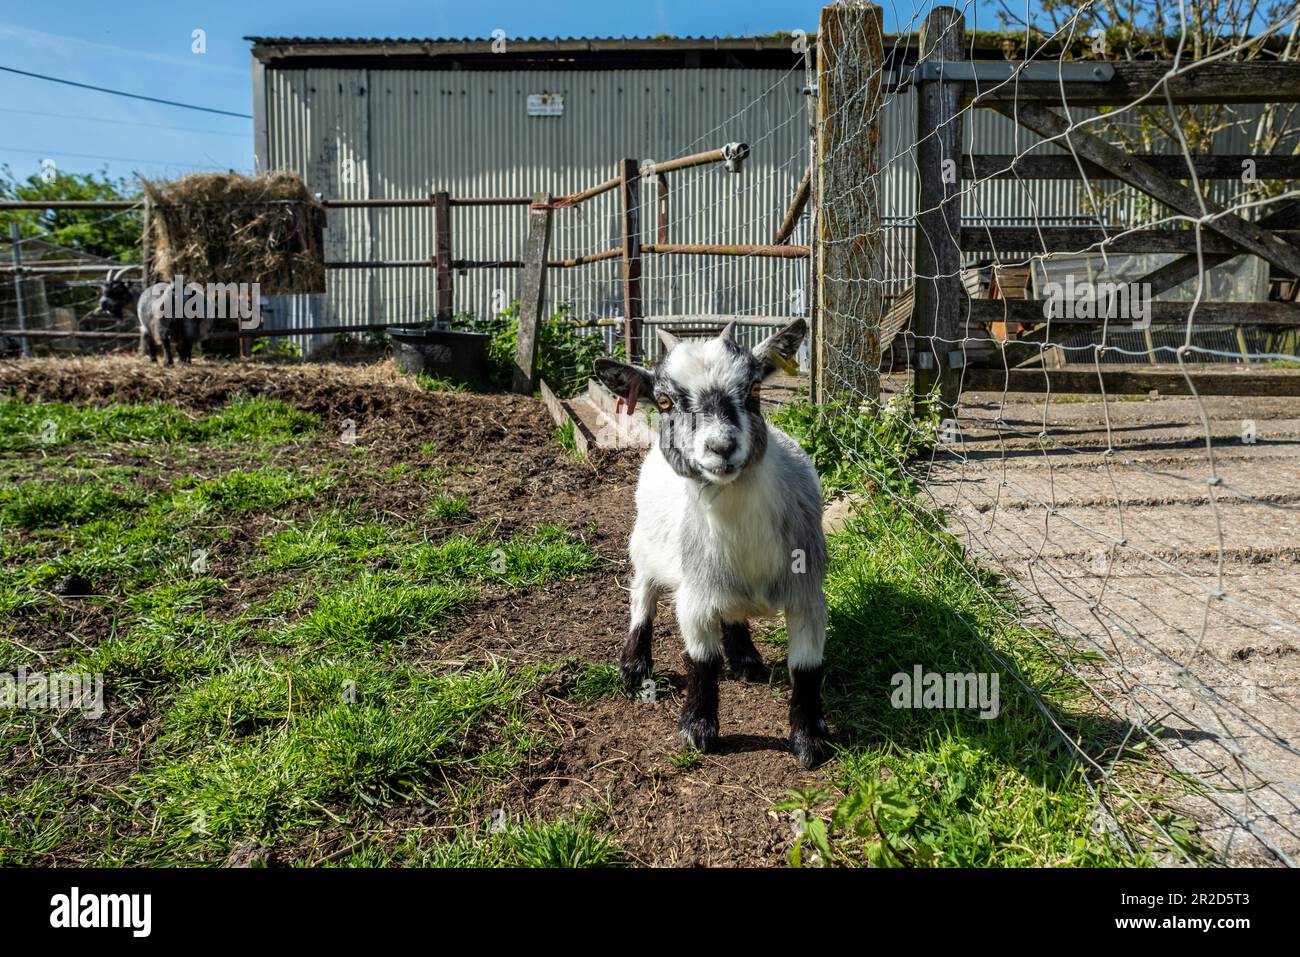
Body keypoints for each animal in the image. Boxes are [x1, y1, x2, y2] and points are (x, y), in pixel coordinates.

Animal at [594, 319, 831, 768]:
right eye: (664, 400)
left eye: (754, 389)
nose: (721, 447)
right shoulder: (695, 596)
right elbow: (701, 662)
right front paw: (697, 728)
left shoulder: (808, 595)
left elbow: (808, 669)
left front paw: (809, 740)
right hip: (644, 543)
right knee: (642, 595)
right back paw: (634, 665)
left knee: (732, 613)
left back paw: (745, 657)